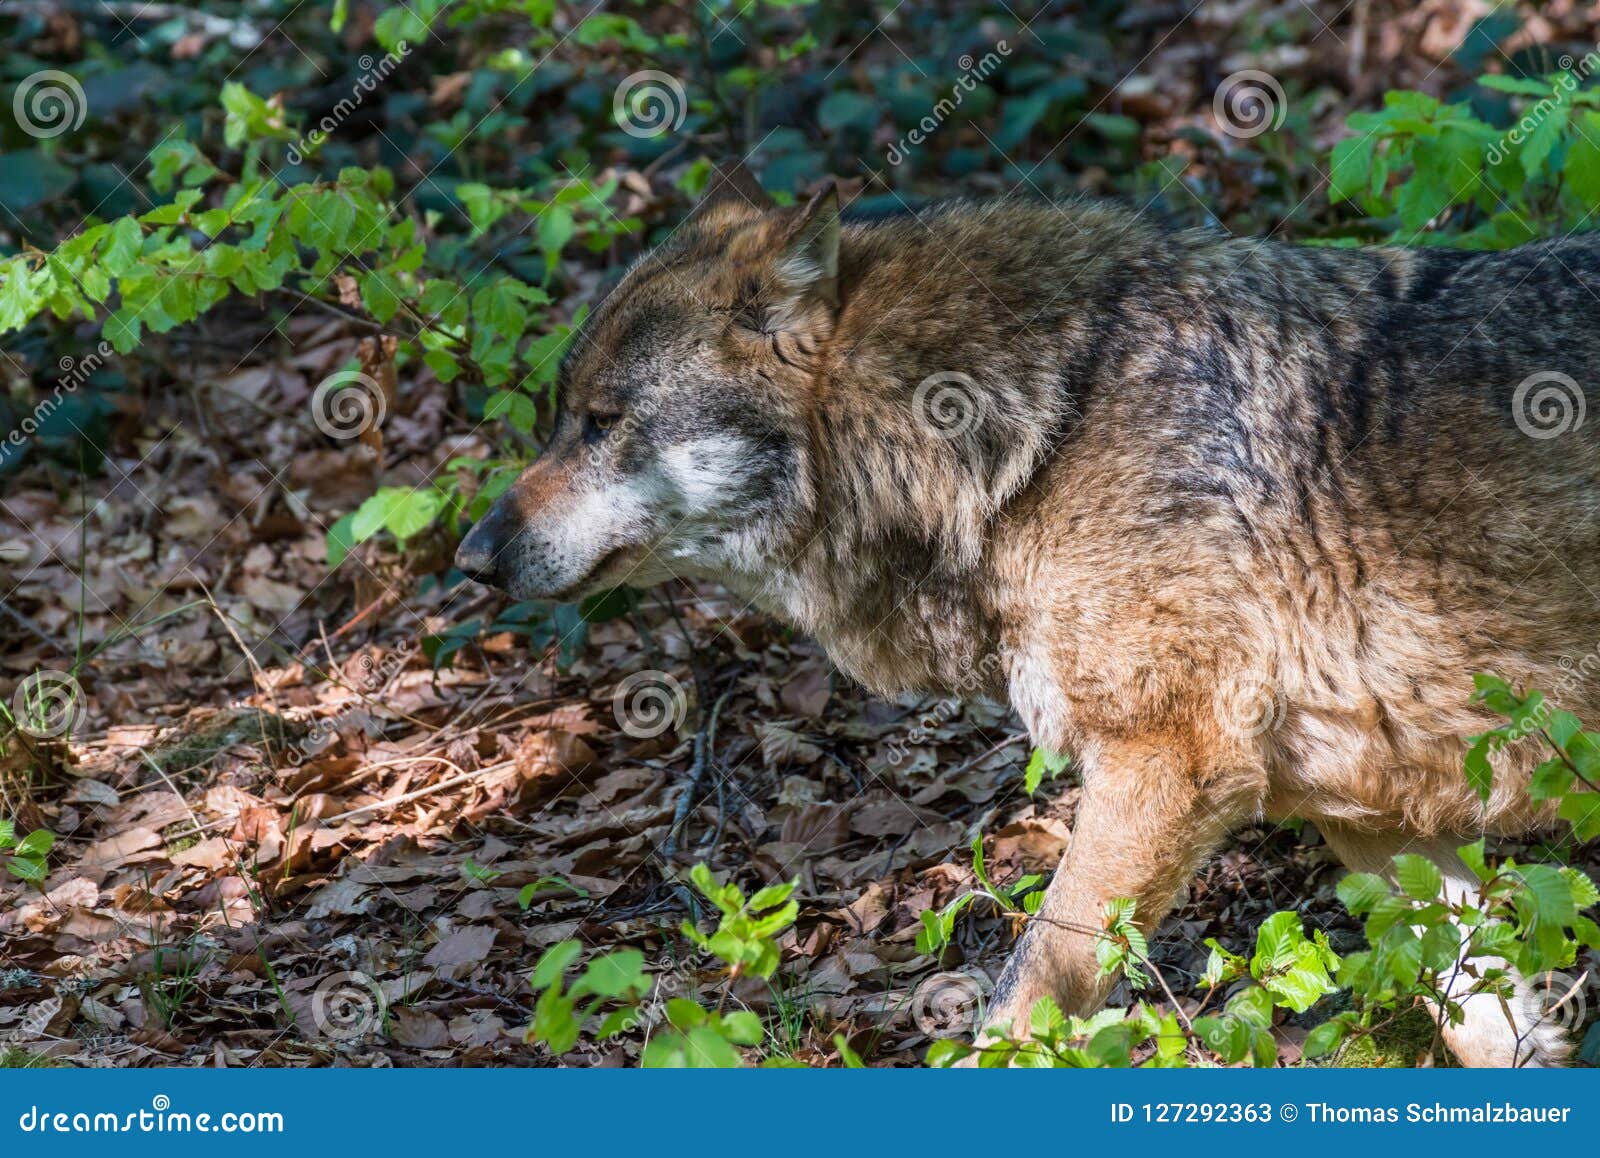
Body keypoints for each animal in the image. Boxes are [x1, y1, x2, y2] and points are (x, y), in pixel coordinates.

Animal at [457, 162, 1600, 1065]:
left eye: (603, 421)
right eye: (564, 418)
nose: (470, 559)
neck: (1041, 433)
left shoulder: (1164, 767)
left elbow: (1022, 1003)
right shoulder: (1363, 815)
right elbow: (1483, 1014)